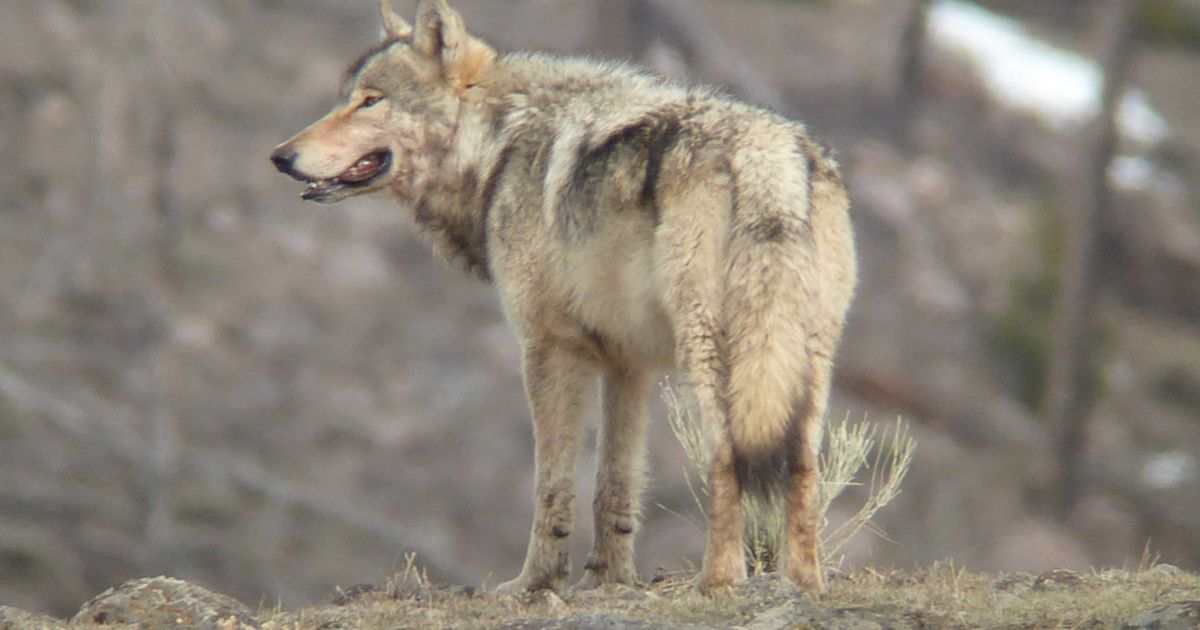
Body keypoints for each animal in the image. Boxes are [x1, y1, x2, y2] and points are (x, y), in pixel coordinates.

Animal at [271, 0, 857, 596]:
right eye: (344, 98)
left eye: (371, 100)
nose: (280, 156)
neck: (497, 145)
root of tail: (768, 149)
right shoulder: (628, 363)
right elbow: (614, 485)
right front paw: (611, 580)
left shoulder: (547, 345)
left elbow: (550, 482)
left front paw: (535, 584)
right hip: (804, 357)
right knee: (802, 460)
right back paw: (805, 583)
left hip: (711, 349)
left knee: (725, 453)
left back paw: (718, 582)